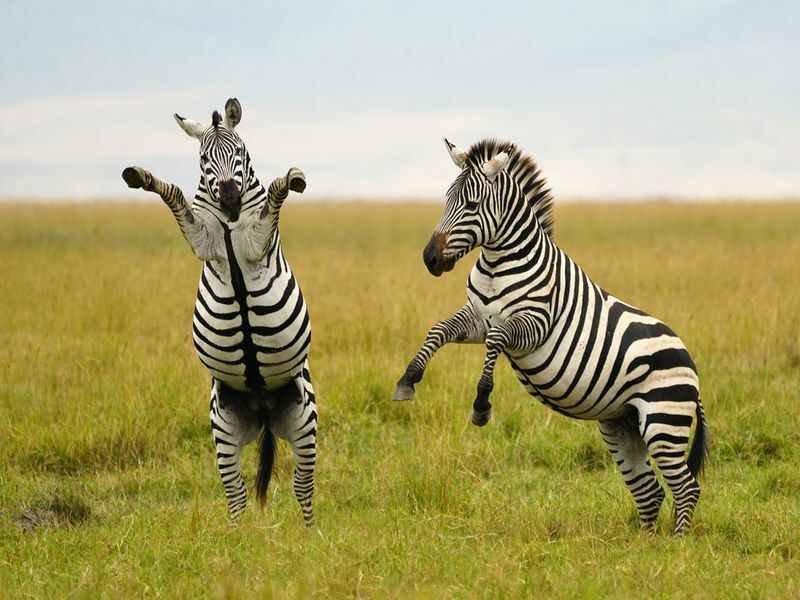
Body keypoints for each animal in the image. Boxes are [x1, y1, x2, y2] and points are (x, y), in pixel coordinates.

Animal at [122, 98, 316, 524]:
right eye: (203, 160)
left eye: (241, 154)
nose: (229, 201)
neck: (228, 225)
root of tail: (263, 409)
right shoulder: (202, 240)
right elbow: (174, 195)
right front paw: (140, 176)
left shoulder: (258, 240)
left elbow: (276, 193)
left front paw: (294, 176)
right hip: (223, 429)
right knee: (236, 494)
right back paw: (236, 537)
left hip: (304, 419)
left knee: (303, 487)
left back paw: (313, 536)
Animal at [390, 138, 708, 536]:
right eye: (446, 199)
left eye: (472, 205)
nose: (430, 259)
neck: (496, 265)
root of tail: (691, 363)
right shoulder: (476, 318)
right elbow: (439, 330)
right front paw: (408, 379)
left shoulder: (534, 322)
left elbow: (497, 339)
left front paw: (482, 401)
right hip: (621, 423)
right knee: (650, 490)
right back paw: (645, 545)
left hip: (664, 419)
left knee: (686, 488)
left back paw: (675, 544)